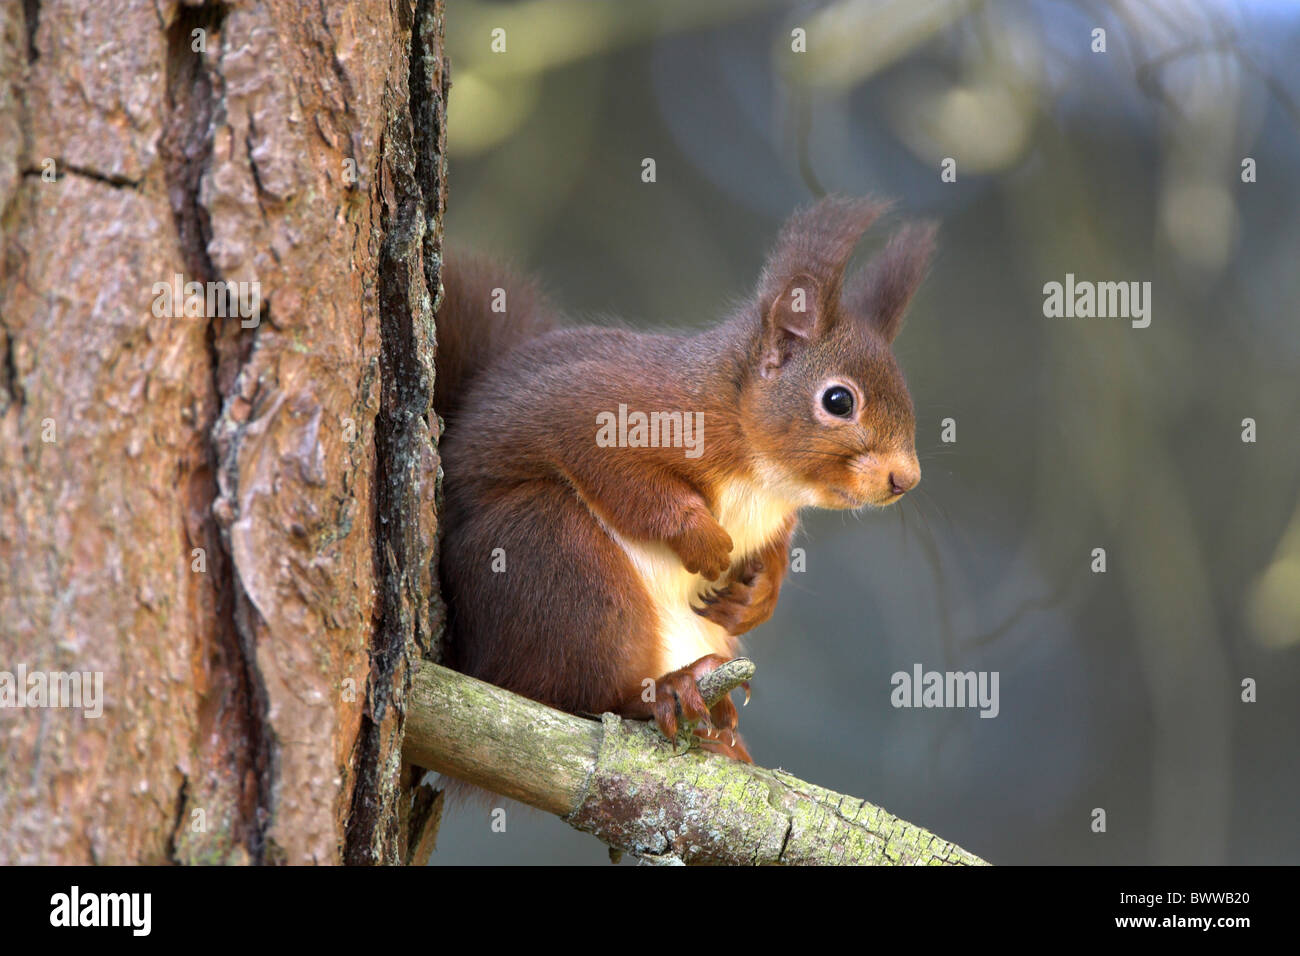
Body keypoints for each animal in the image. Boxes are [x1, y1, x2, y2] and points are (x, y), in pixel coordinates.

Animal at [433, 196, 935, 763]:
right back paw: (667, 691)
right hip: (550, 553)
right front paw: (703, 538)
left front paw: (759, 594)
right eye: (838, 401)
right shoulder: (603, 413)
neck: (764, 476)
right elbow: (626, 480)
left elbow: (775, 548)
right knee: (569, 691)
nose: (906, 478)